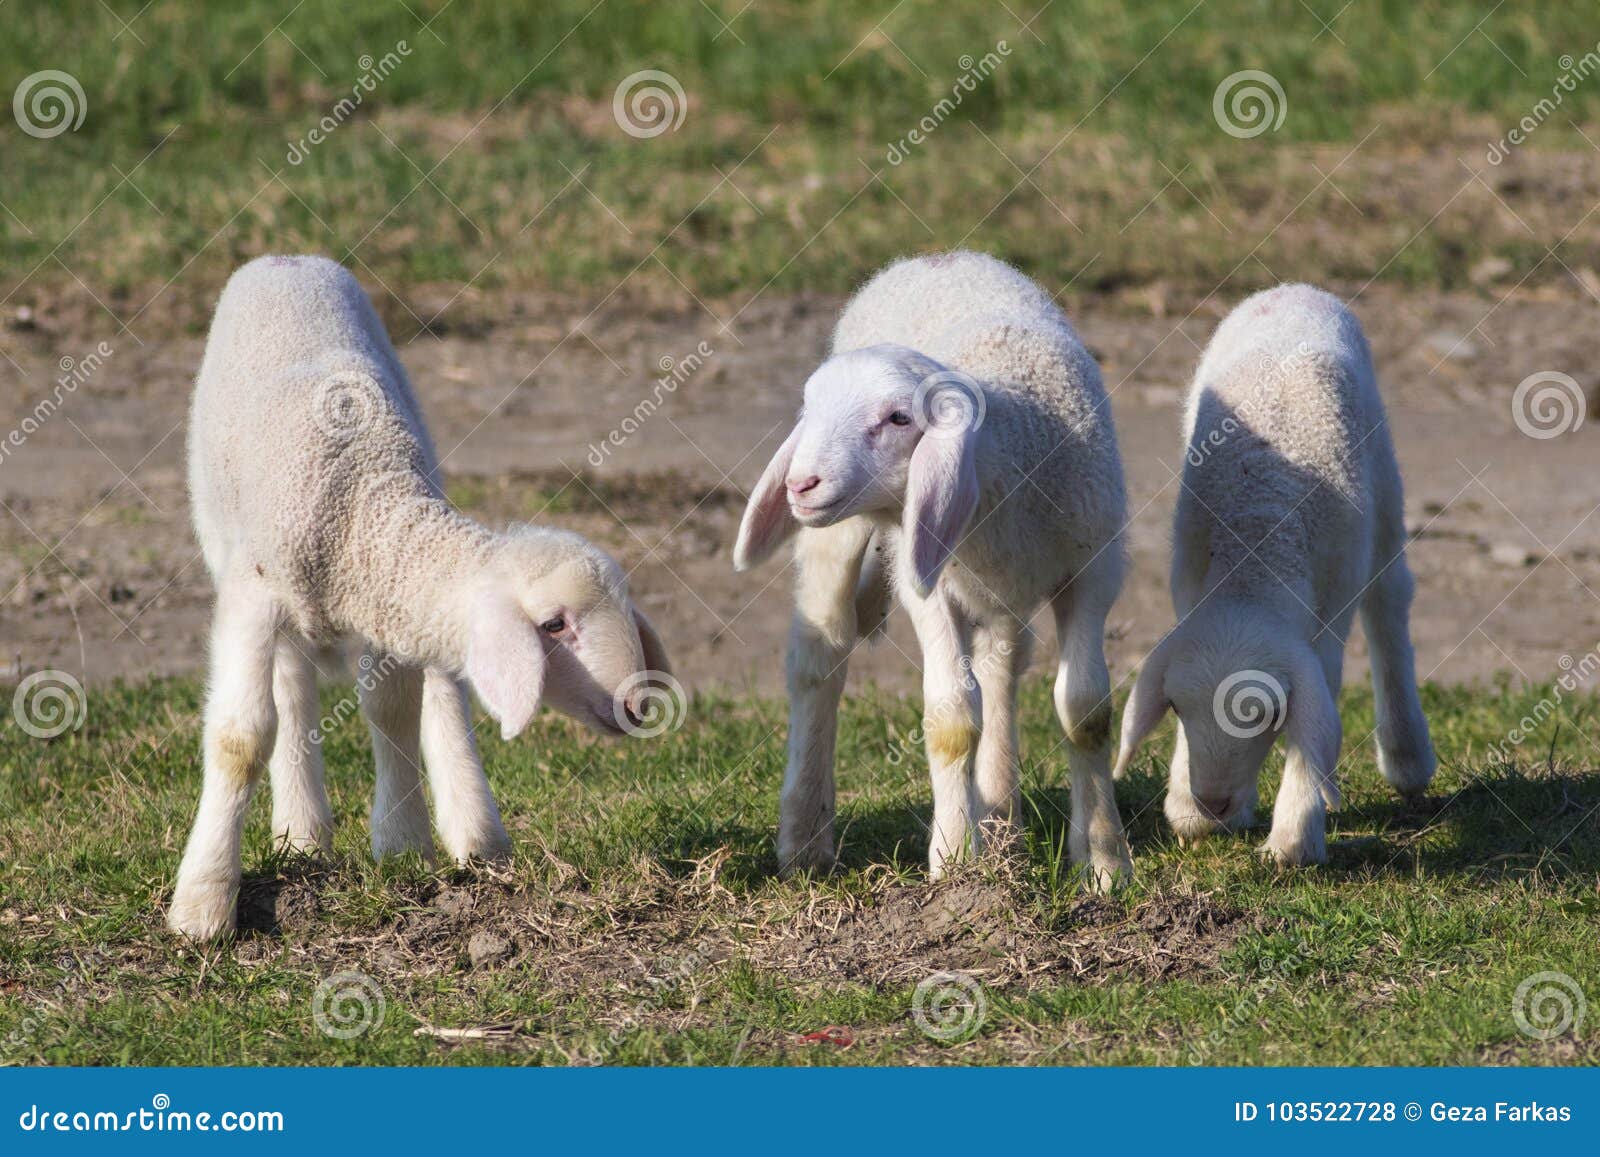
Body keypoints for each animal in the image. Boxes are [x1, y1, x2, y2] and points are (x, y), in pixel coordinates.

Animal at [169, 254, 673, 941]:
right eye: (553, 625)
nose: (637, 705)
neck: (359, 503)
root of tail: (286, 258)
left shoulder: (386, 607)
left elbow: (395, 710)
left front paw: (405, 847)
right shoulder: (253, 595)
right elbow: (241, 737)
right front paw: (202, 904)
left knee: (441, 694)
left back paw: (474, 836)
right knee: (292, 687)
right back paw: (302, 835)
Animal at [733, 250, 1133, 888]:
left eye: (900, 417)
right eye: (809, 409)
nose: (799, 484)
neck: (1011, 448)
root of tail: (936, 256)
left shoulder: (1093, 571)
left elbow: (1085, 711)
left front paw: (1103, 859)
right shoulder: (928, 582)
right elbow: (951, 718)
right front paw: (954, 856)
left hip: (994, 586)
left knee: (1001, 669)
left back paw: (1003, 827)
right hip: (841, 540)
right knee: (819, 661)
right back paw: (806, 839)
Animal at [1114, 283, 1435, 865]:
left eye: (1269, 715)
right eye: (1175, 708)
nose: (1214, 801)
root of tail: (1294, 289)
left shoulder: (1330, 606)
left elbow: (1320, 705)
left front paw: (1296, 831)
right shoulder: (1190, 588)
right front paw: (1190, 812)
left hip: (1383, 483)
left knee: (1389, 601)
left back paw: (1407, 758)